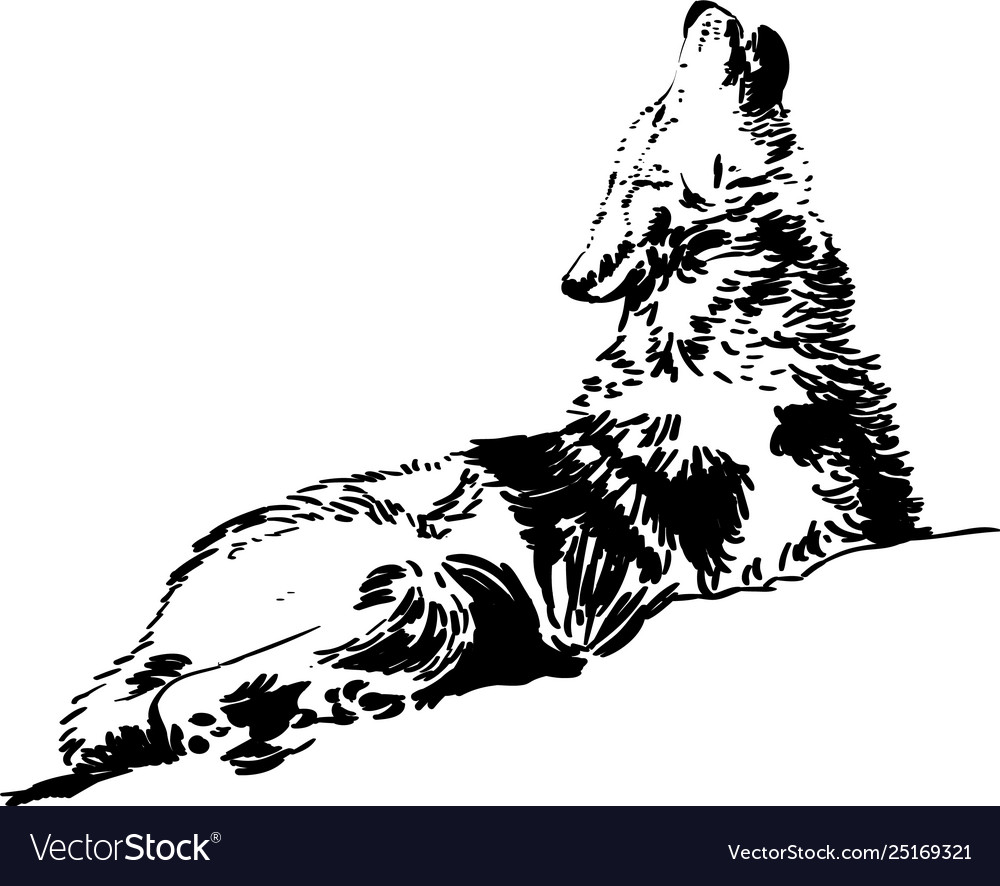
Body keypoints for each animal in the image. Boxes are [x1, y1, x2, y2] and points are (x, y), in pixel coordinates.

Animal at [4, 2, 986, 805]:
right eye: (657, 116)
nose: (697, 6)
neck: (729, 334)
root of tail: (170, 598)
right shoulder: (772, 560)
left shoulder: (872, 523)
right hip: (413, 571)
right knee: (179, 701)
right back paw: (283, 712)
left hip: (443, 594)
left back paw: (340, 701)